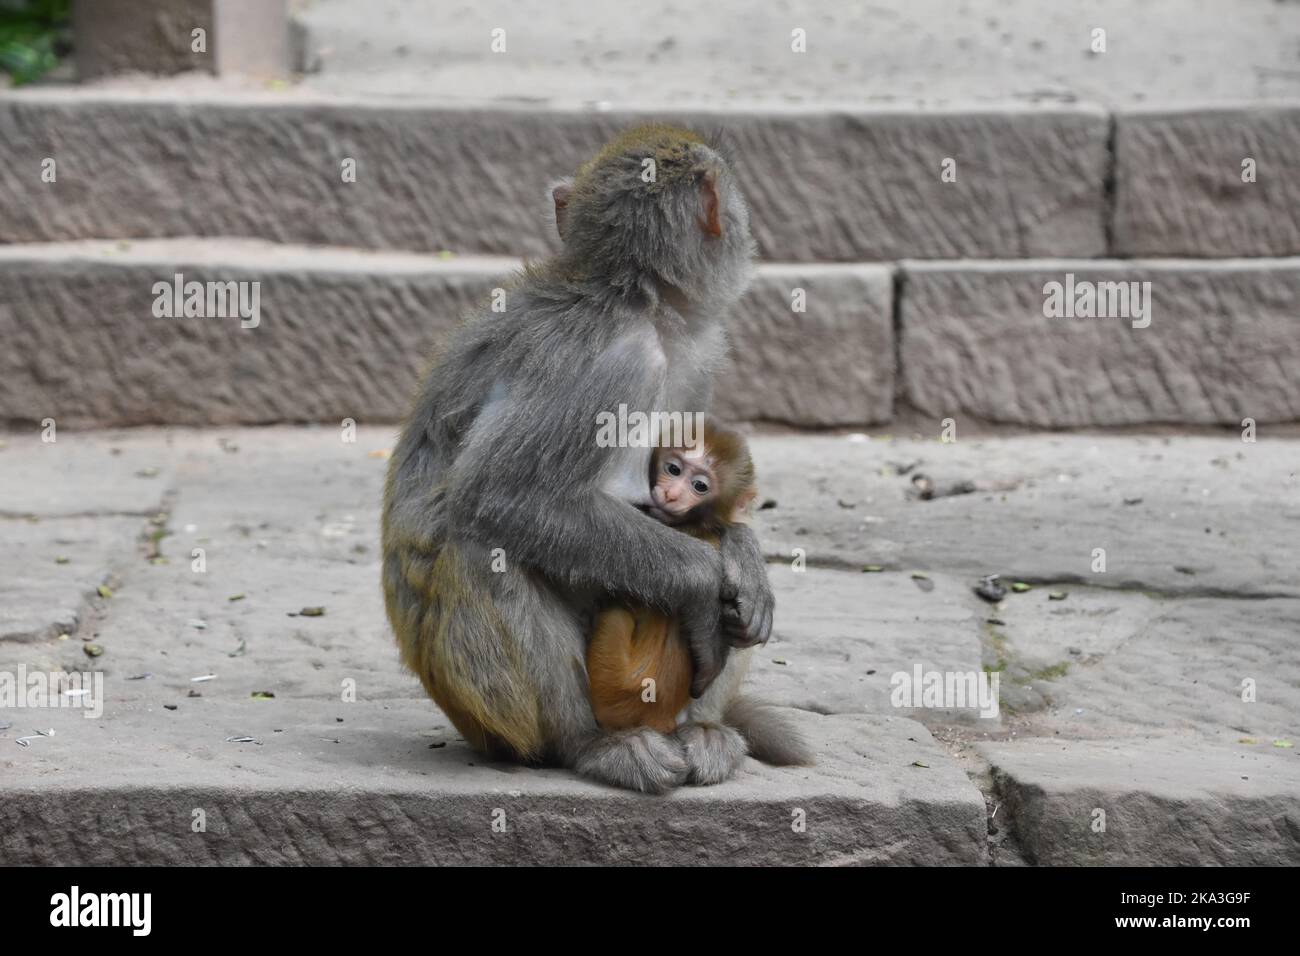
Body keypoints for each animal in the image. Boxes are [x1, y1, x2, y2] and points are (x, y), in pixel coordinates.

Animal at [587, 420, 757, 734]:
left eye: (700, 486)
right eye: (674, 469)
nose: (671, 495)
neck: (696, 523)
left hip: (607, 677)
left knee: (617, 613)